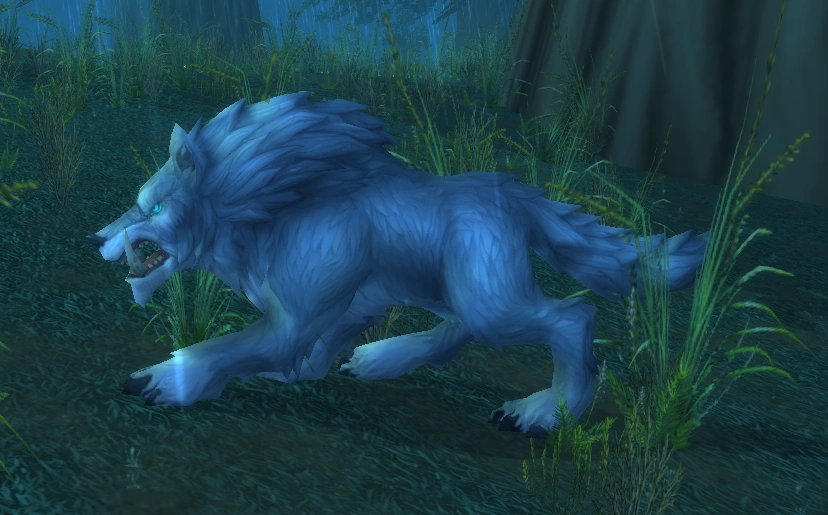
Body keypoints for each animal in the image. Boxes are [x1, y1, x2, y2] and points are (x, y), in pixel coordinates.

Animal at [87, 92, 707, 437]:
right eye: (137, 203)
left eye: (154, 208)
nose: (97, 239)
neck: (263, 212)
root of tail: (513, 190)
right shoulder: (341, 308)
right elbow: (306, 358)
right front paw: (301, 372)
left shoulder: (295, 318)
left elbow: (221, 348)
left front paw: (163, 380)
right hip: (447, 288)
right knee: (455, 332)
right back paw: (380, 360)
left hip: (491, 303)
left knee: (574, 318)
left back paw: (541, 414)